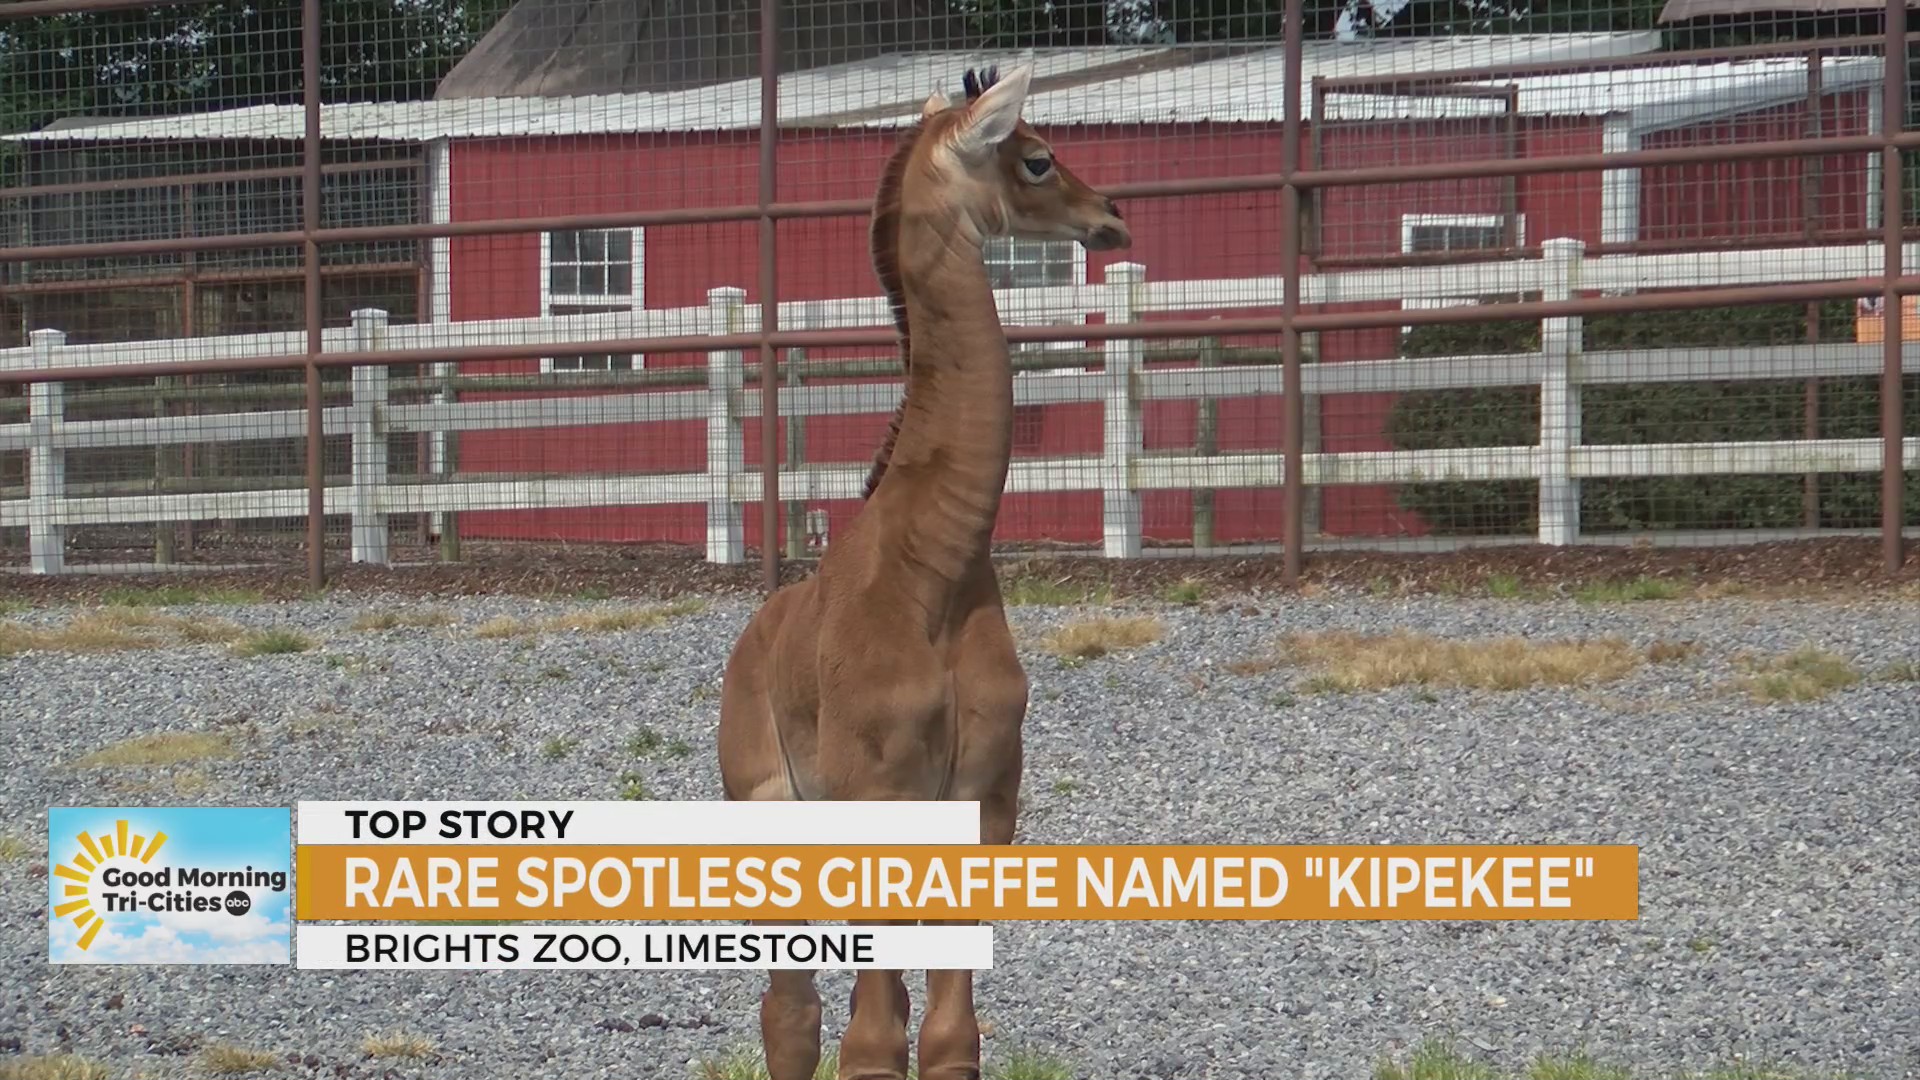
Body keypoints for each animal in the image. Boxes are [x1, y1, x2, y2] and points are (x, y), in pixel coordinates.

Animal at [716, 63, 1131, 1080]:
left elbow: (945, 1035)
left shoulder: (988, 794)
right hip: (764, 811)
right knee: (789, 1011)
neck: (935, 569)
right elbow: (870, 1042)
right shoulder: (873, 797)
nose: (1110, 214)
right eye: (1036, 156)